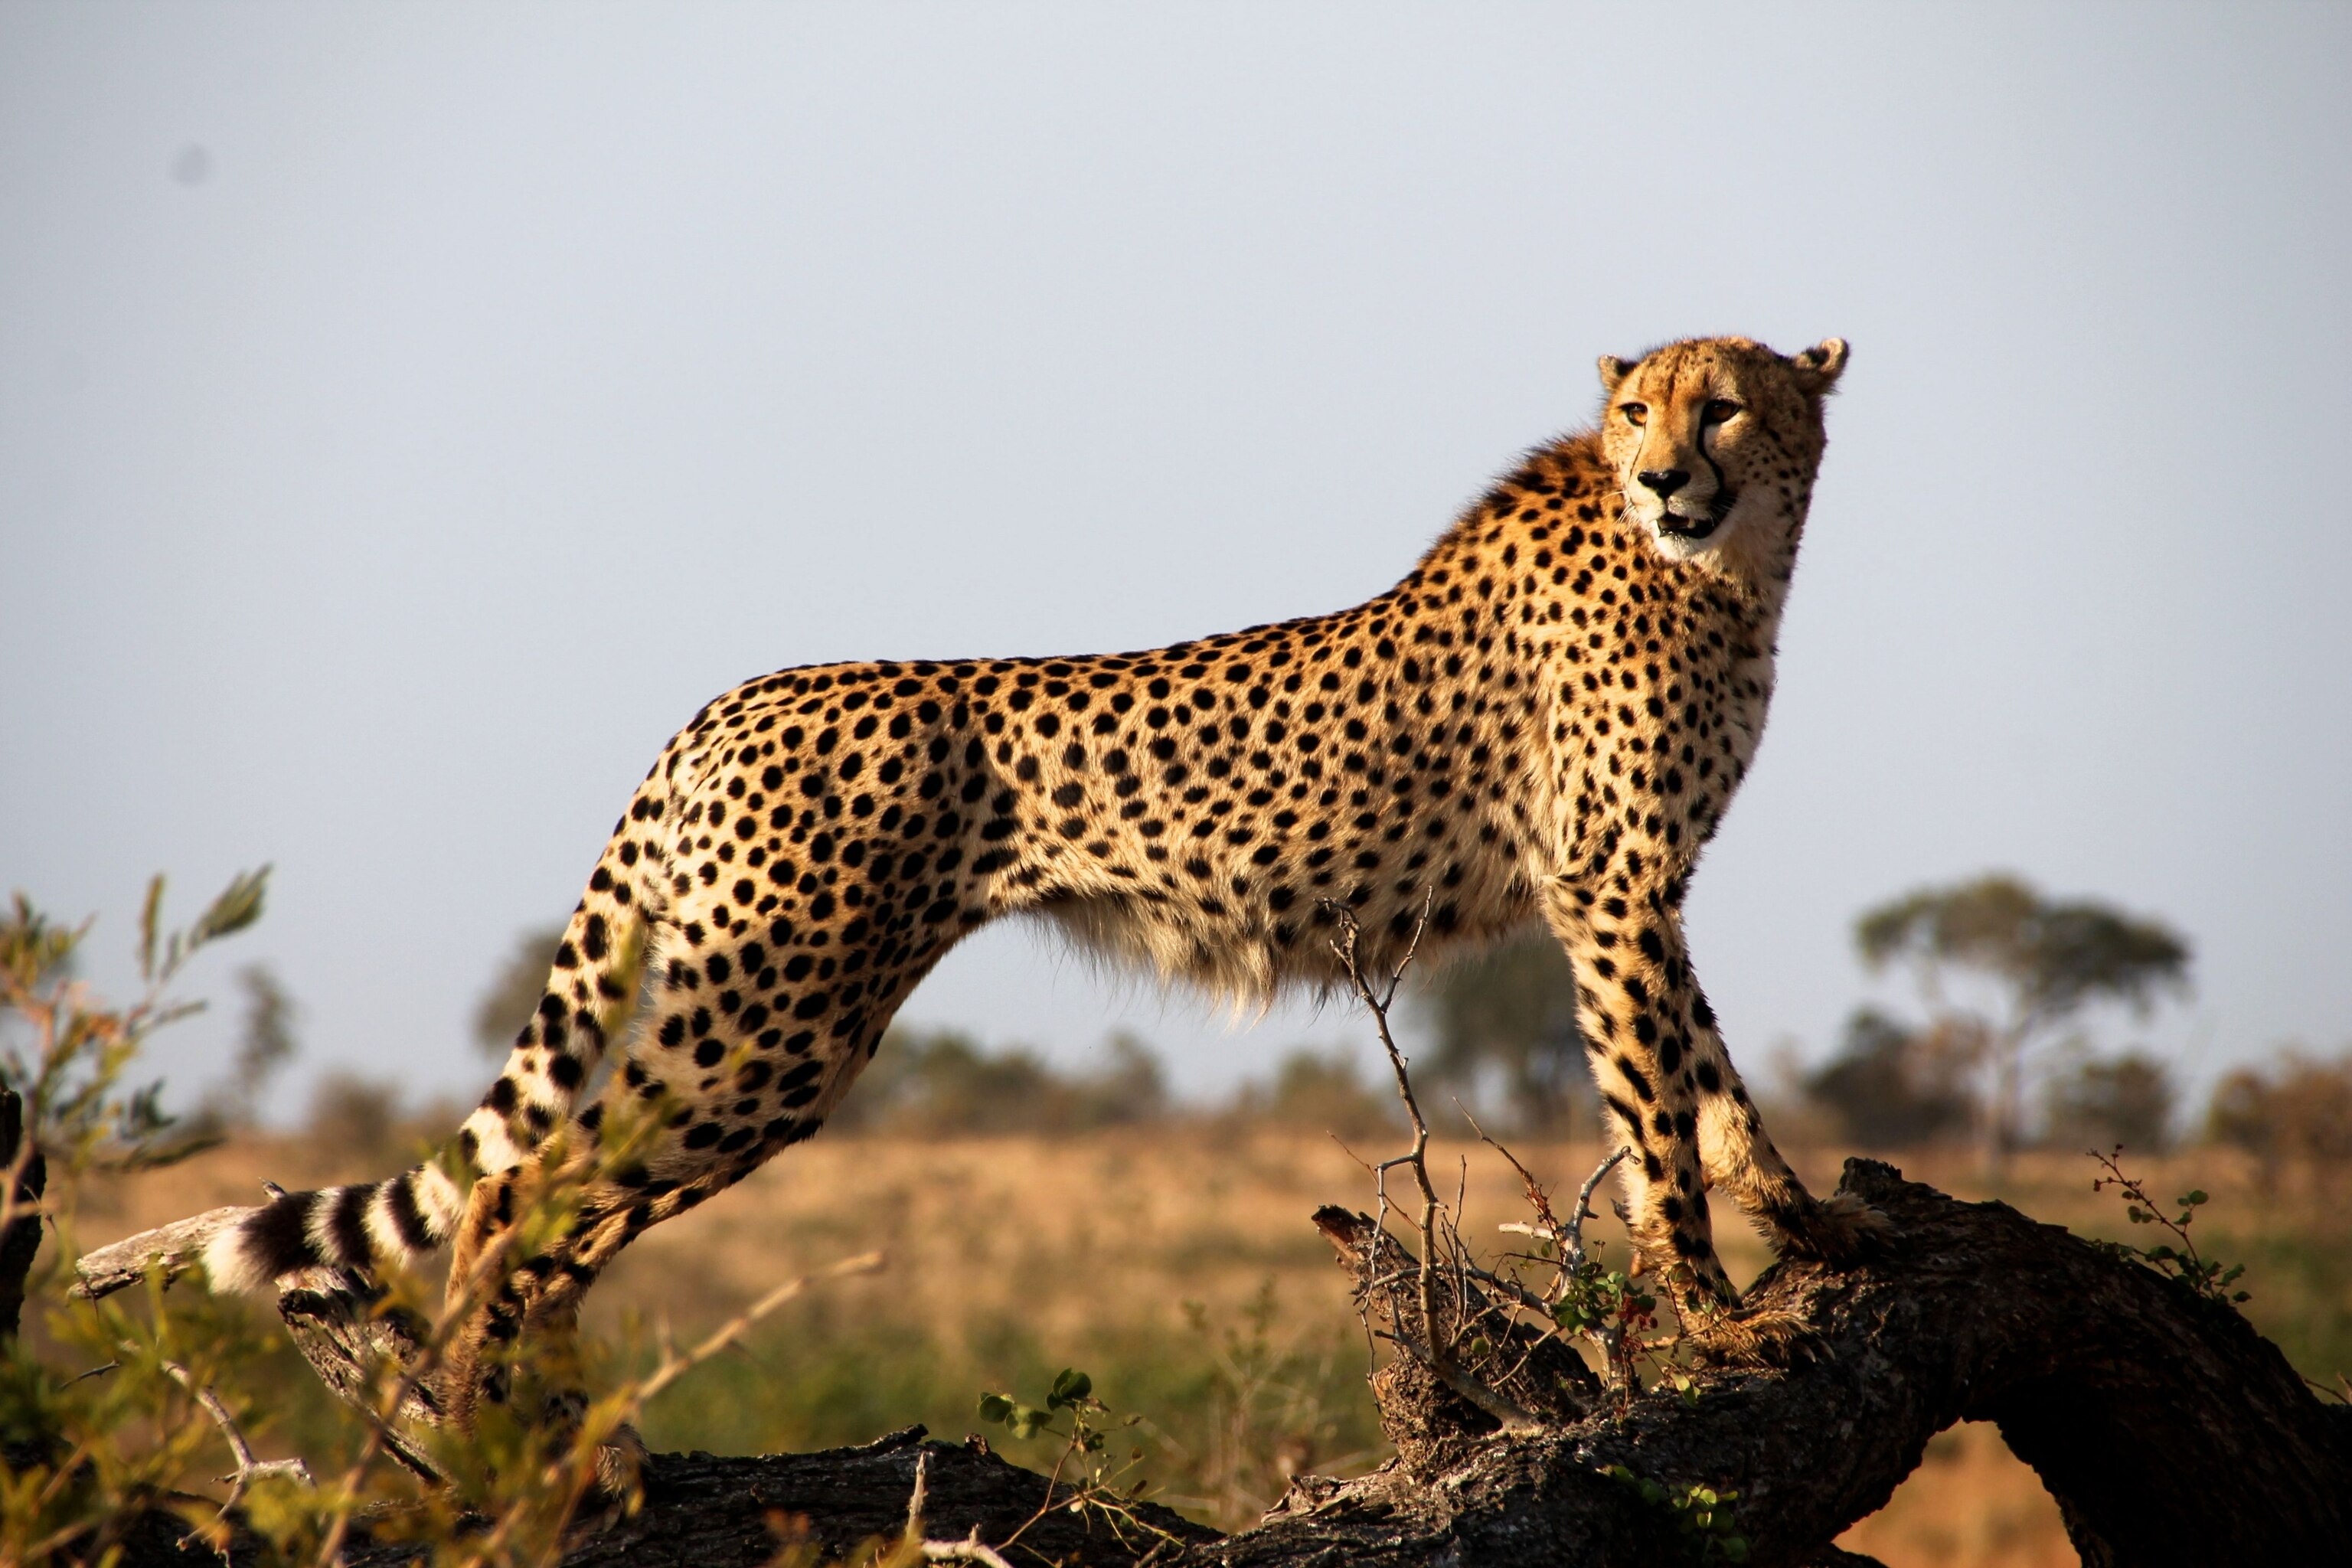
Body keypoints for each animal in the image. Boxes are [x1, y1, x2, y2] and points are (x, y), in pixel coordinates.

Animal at [202, 332, 1876, 1446]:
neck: (1724, 566)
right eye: (1636, 409)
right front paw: (1714, 1312)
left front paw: (1801, 1221)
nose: (1662, 473)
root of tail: (738, 695)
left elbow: (1707, 1071)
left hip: (767, 1031)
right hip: (767, 1023)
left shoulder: (1636, 890)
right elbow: (1653, 1102)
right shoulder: (1608, 886)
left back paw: (546, 1420)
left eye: (1725, 402)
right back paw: (489, 1411)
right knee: (518, 1185)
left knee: (554, 1205)